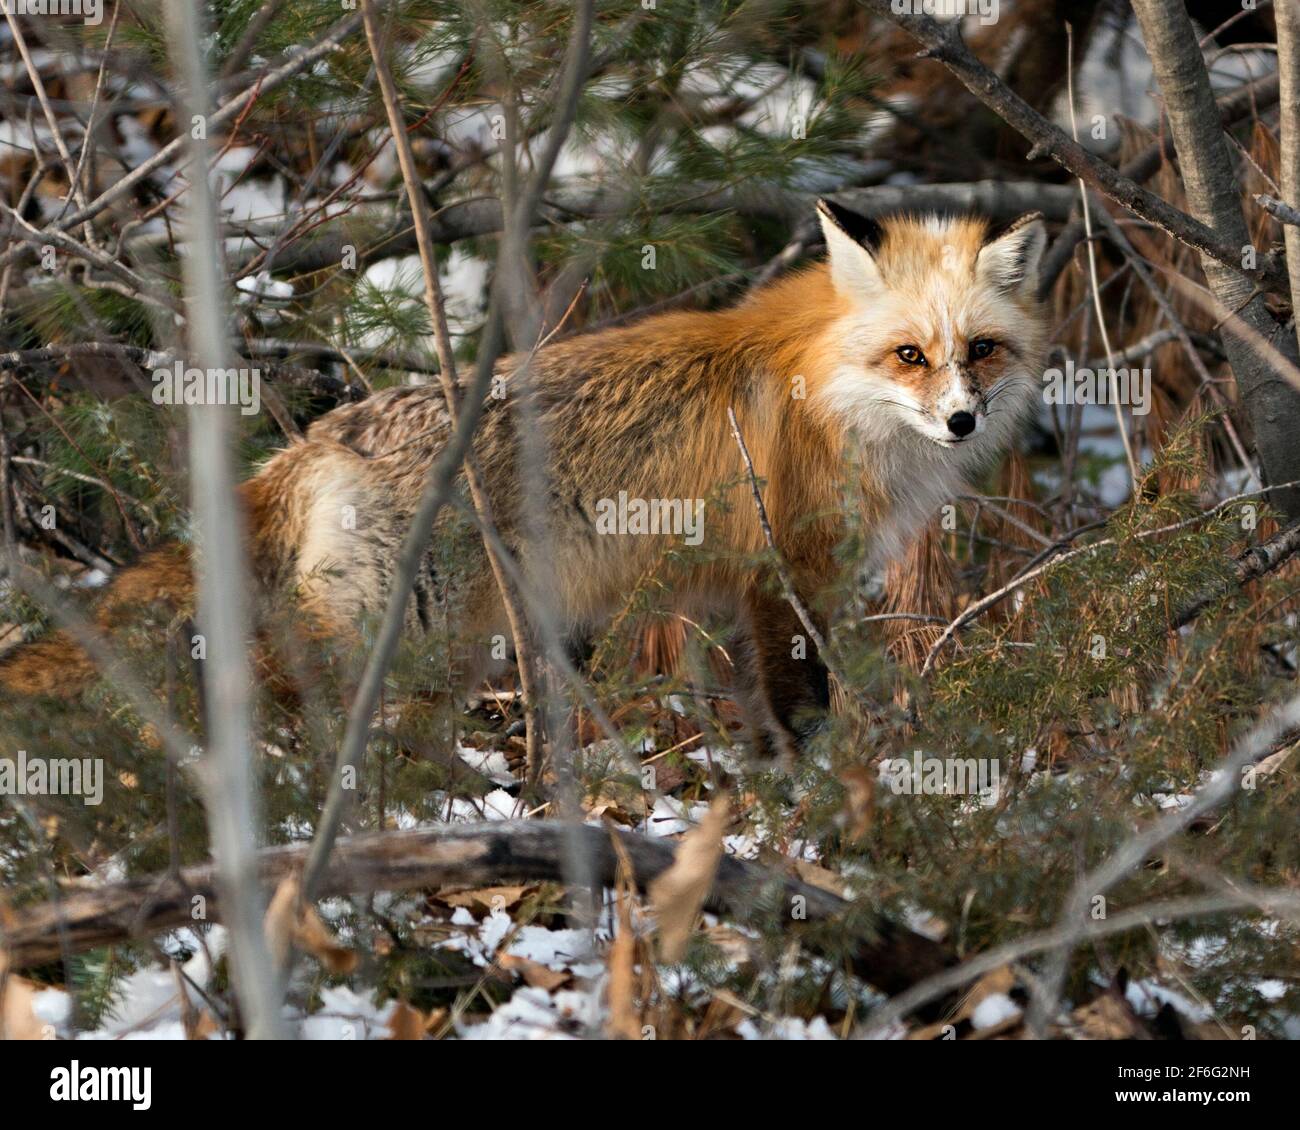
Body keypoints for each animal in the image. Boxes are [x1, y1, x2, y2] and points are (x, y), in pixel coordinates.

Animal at [0, 201, 1048, 760]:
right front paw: (818, 782)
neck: (826, 386)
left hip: (439, 651)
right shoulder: (786, 573)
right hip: (392, 632)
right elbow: (801, 704)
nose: (962, 420)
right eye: (910, 355)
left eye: (980, 351)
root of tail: (323, 437)